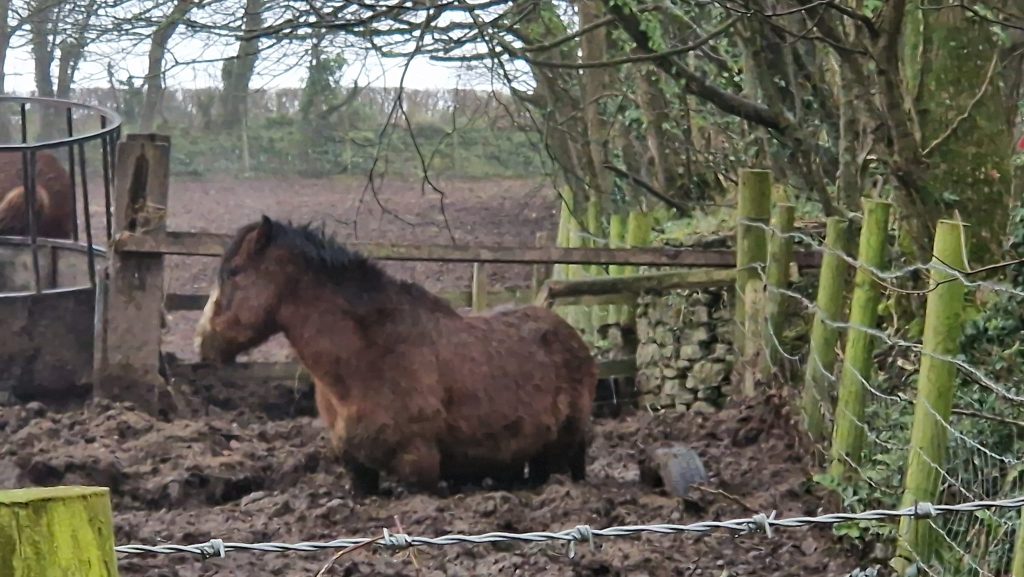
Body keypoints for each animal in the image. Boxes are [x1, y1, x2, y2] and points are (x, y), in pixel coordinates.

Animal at [193, 216, 598, 496]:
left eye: (233, 272)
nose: (203, 342)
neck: (367, 359)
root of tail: (570, 335)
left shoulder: (419, 470)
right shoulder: (359, 473)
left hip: (565, 450)